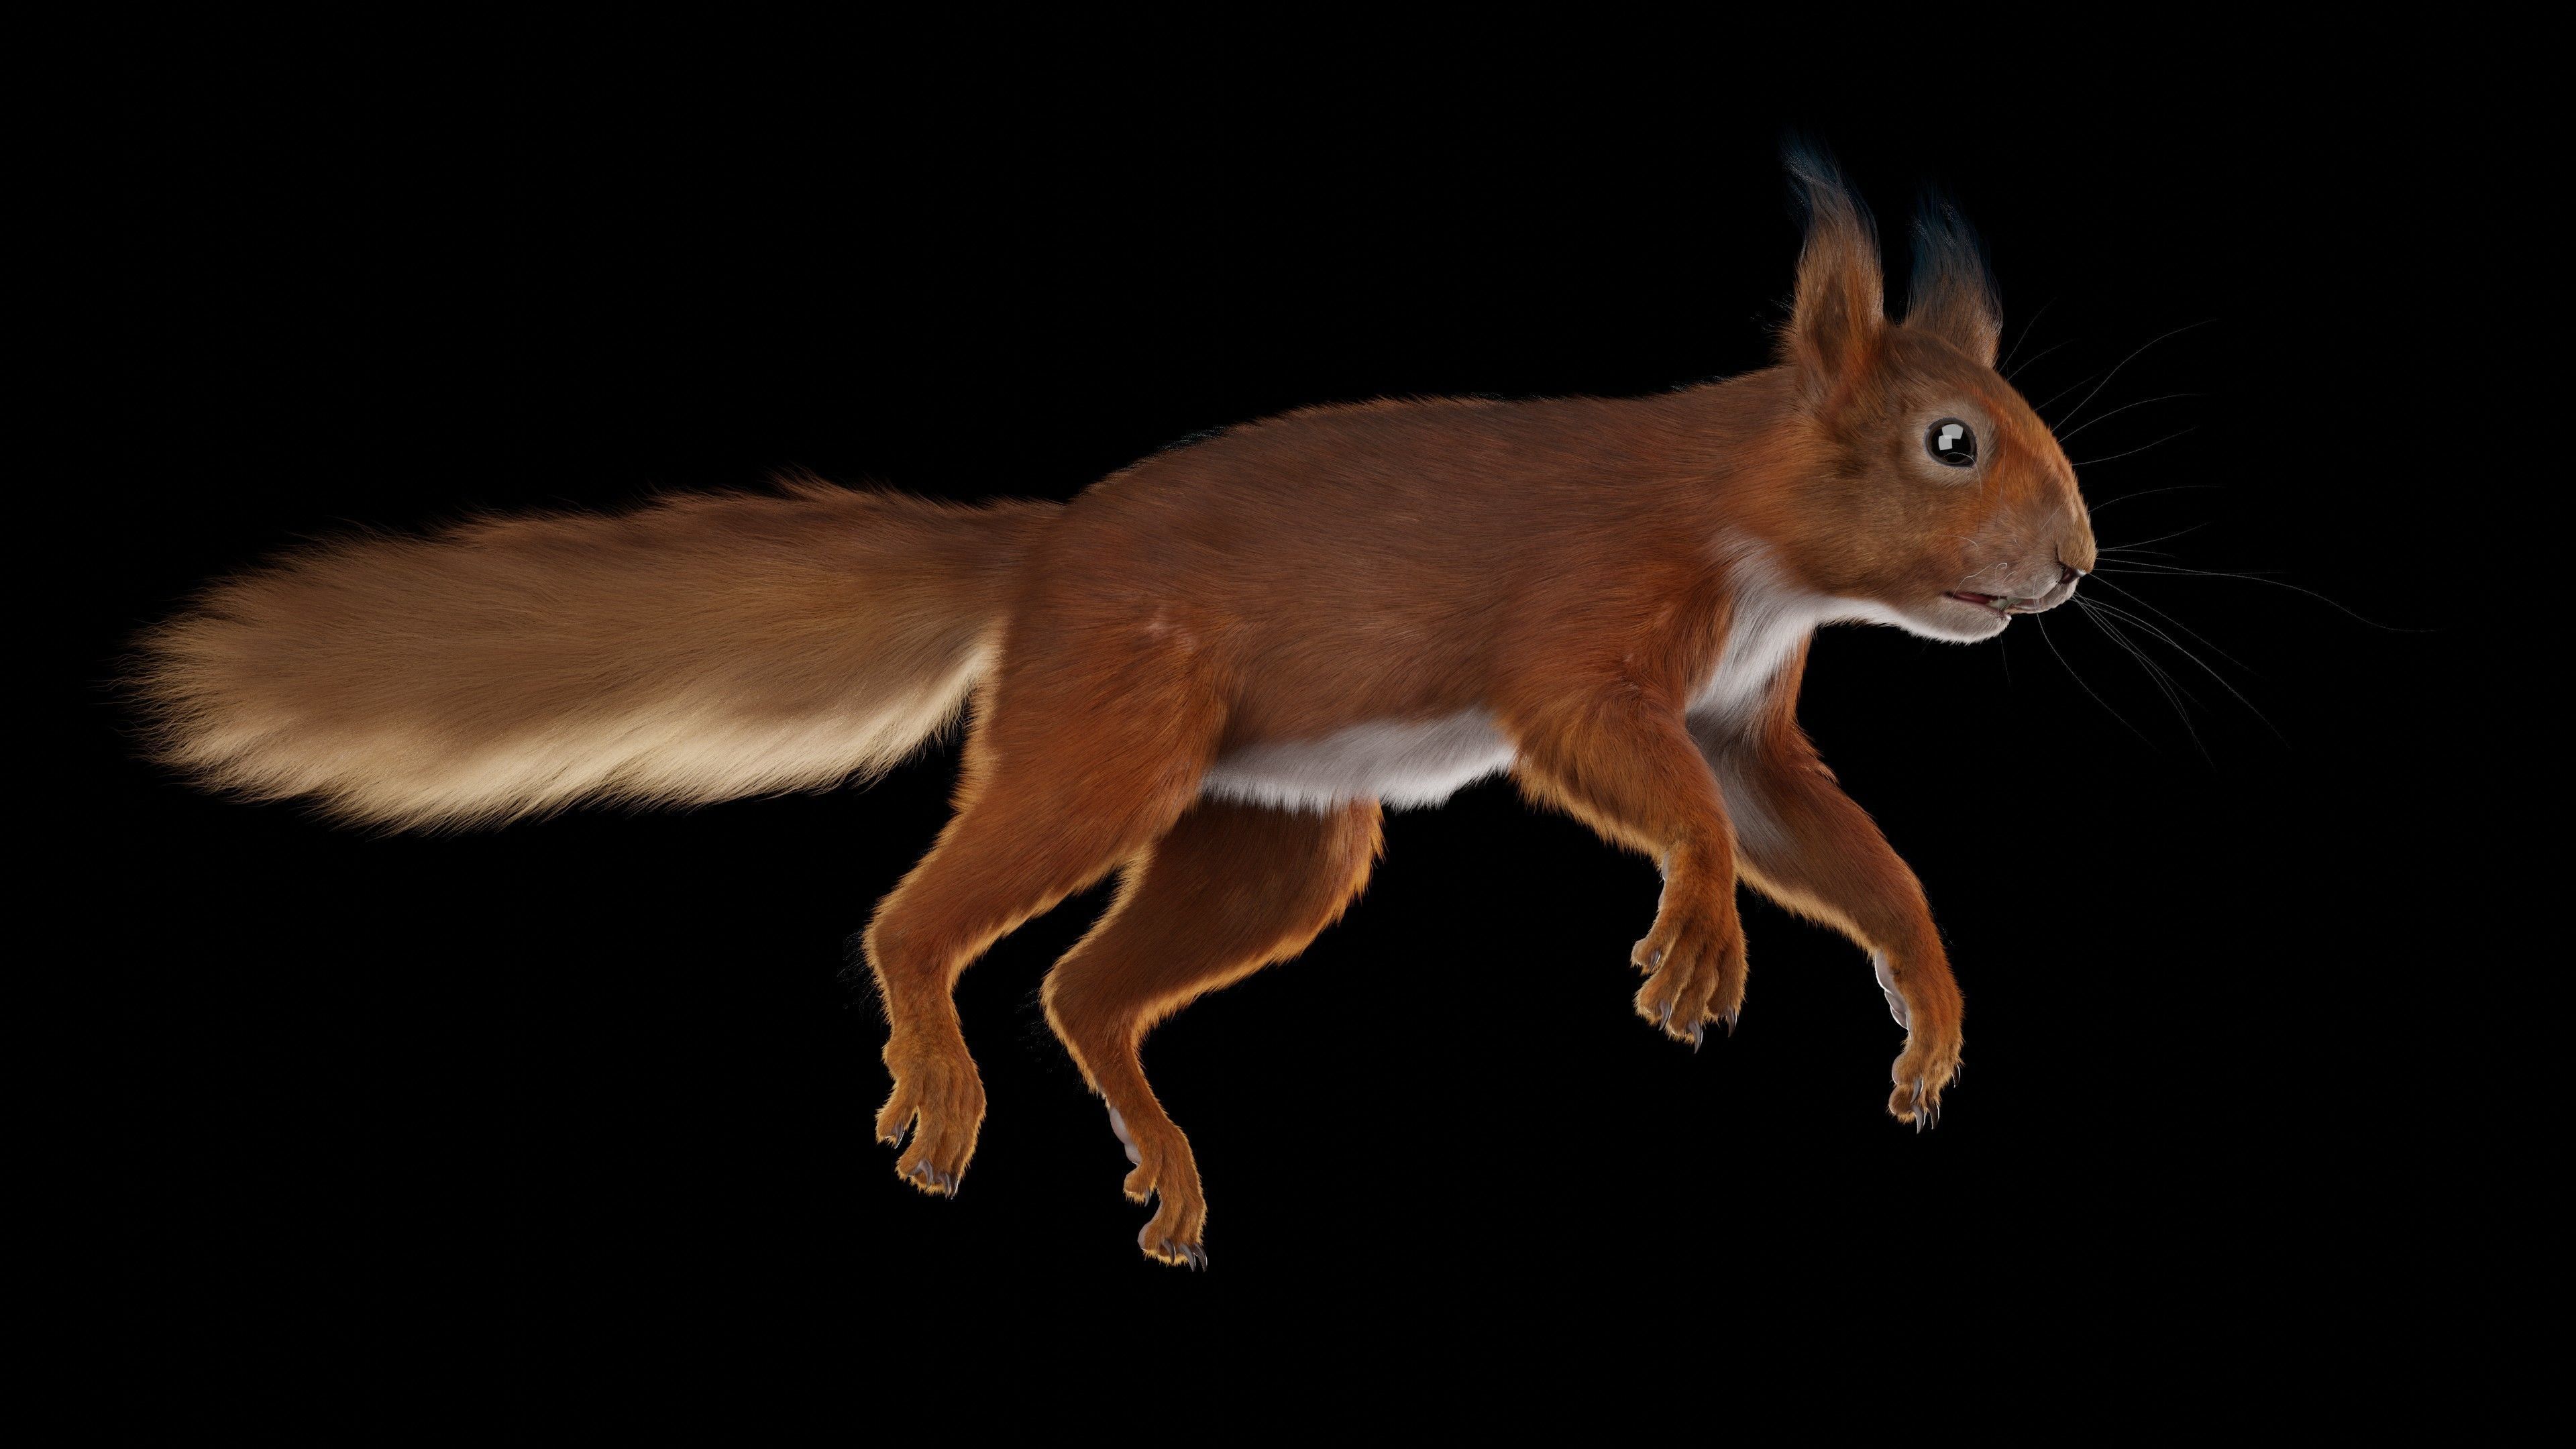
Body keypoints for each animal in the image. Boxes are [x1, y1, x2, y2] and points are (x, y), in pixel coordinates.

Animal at [133, 145, 2096, 1268]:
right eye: (1952, 442)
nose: (2075, 564)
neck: (1745, 514)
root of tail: (1044, 551)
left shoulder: (1746, 709)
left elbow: (1822, 841)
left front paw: (1928, 1008)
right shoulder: (1589, 628)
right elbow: (1635, 774)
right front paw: (1697, 934)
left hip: (1270, 832)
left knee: (1084, 990)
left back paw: (1158, 1160)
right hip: (1115, 726)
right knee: (918, 920)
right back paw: (935, 1076)